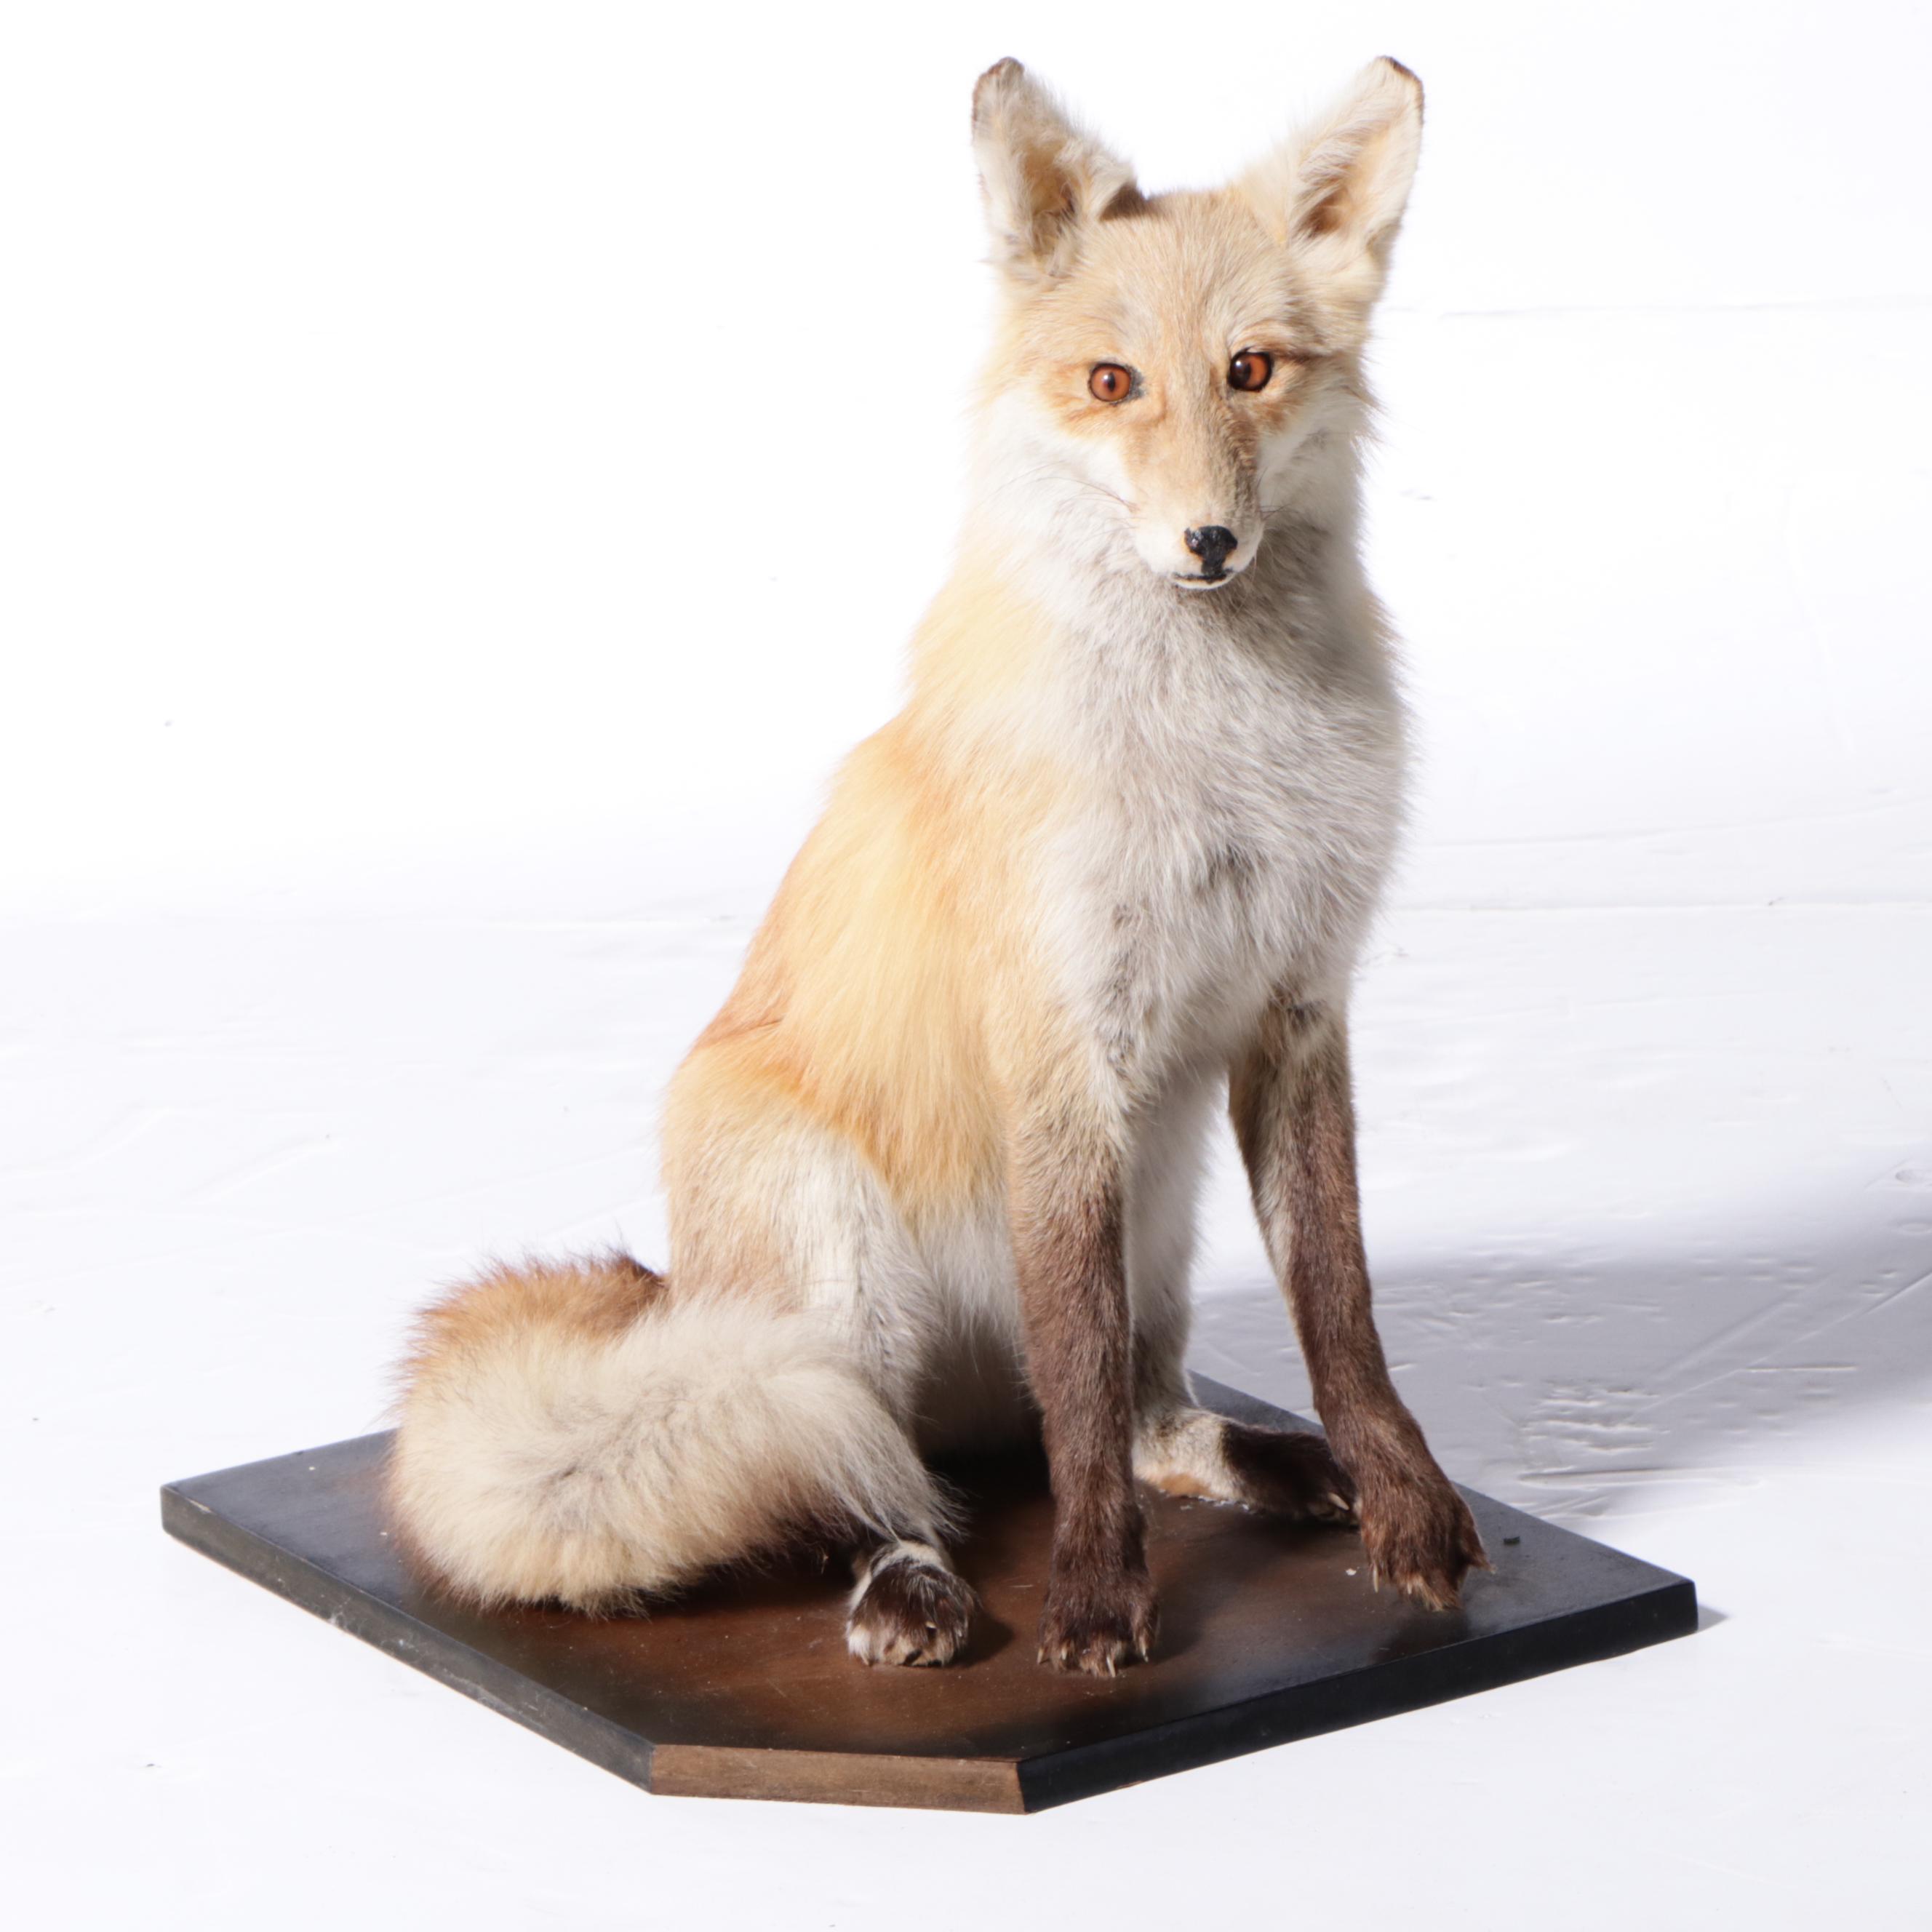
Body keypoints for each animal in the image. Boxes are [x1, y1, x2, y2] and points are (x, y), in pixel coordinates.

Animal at [387, 54, 1487, 1676]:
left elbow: (1335, 1317)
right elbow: (1074, 1384)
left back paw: (1272, 1465)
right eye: (1111, 384)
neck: (1220, 756)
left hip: (1163, 1196)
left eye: (1250, 371)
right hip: (842, 1282)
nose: (1206, 542)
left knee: (1130, 1415)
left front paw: (1405, 1507)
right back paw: (909, 1580)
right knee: (869, 1466)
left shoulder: (1295, 1007)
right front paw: (1094, 1599)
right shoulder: (1061, 1045)